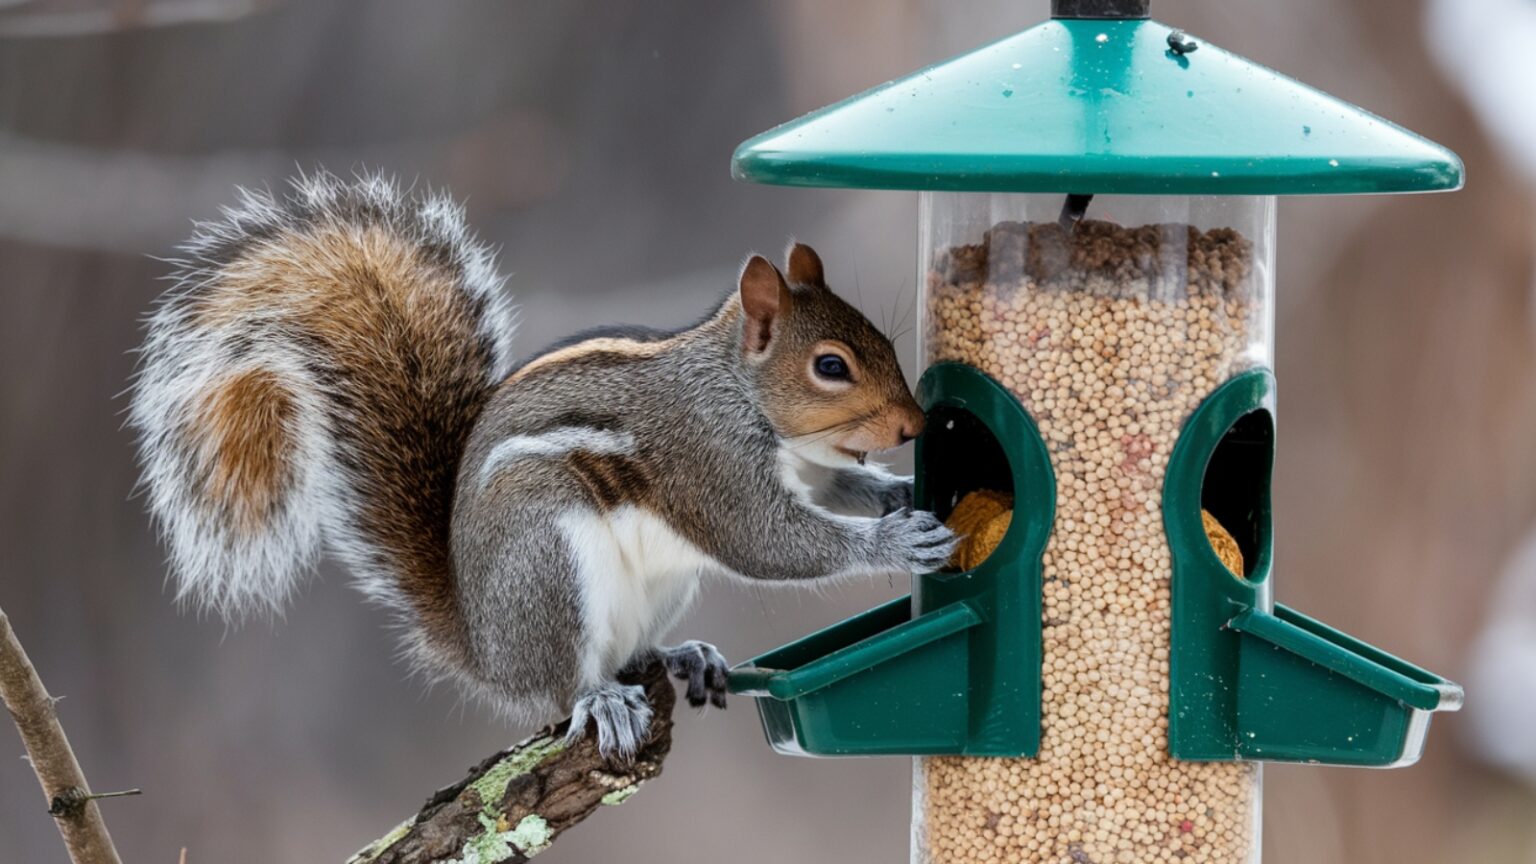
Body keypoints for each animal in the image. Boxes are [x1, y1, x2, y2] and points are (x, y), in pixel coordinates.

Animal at [129, 172, 956, 760]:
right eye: (830, 366)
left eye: (882, 336)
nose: (914, 425)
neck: (741, 395)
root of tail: (486, 650)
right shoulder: (708, 462)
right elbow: (770, 544)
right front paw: (894, 539)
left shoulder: (812, 471)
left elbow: (842, 486)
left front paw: (894, 492)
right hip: (549, 562)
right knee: (565, 688)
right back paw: (599, 700)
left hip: (657, 589)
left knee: (632, 652)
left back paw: (682, 656)